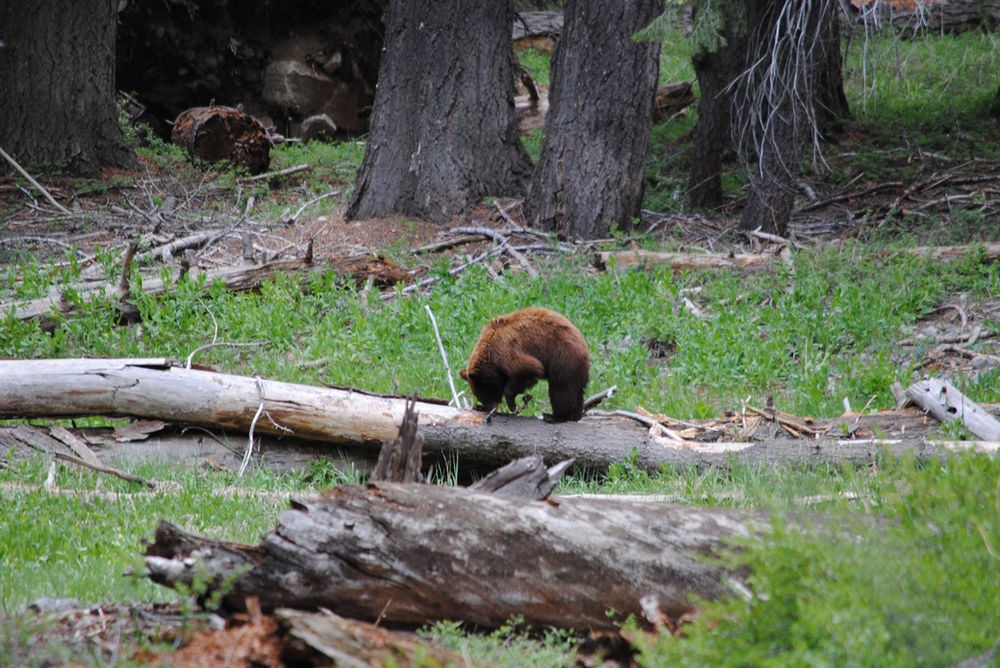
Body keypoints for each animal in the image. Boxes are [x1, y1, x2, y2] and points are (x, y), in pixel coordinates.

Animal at [459, 306, 590, 422]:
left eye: (486, 393)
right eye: (480, 396)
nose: (492, 409)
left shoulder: (505, 351)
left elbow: (528, 369)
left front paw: (511, 403)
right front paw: (478, 406)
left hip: (564, 359)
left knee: (562, 389)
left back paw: (555, 416)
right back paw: (575, 415)